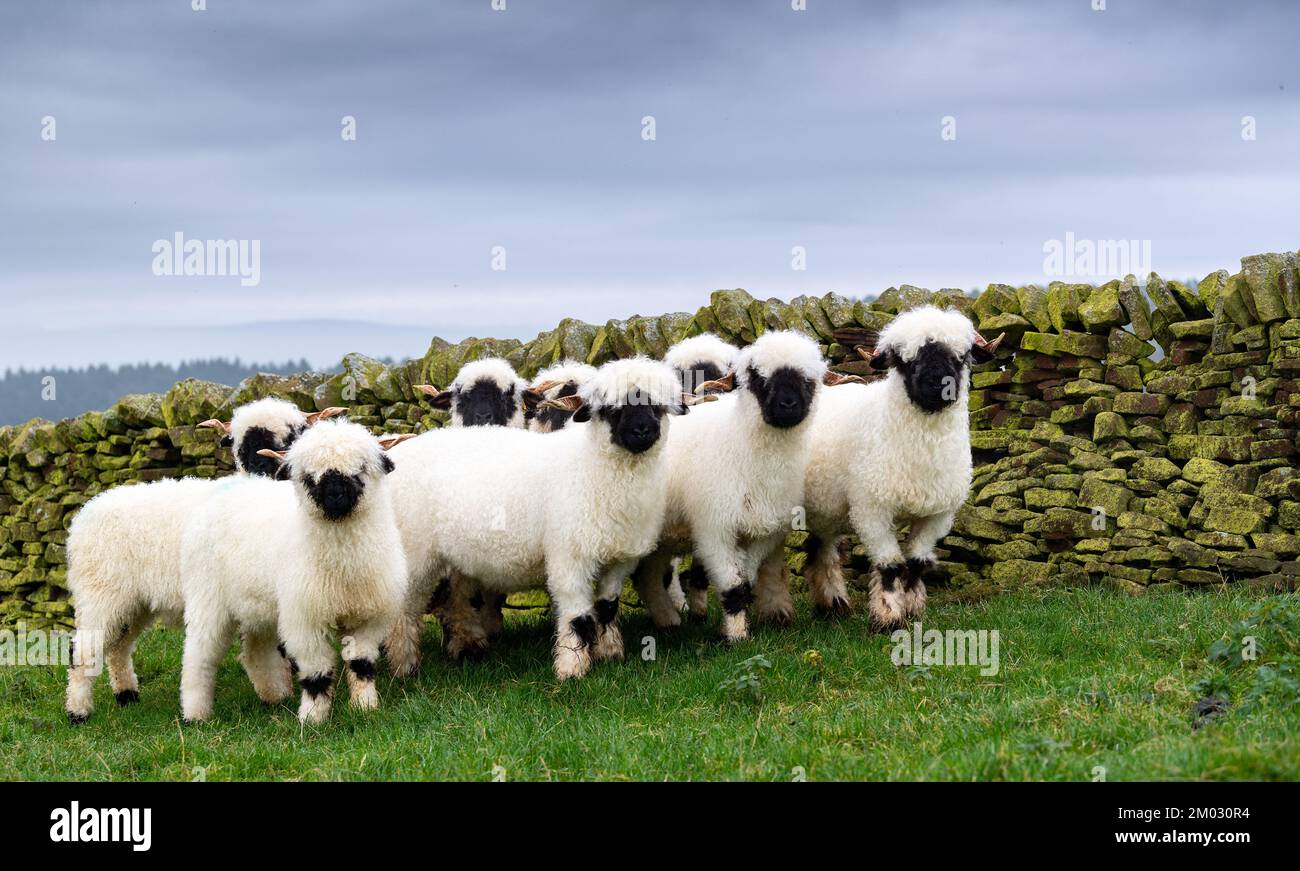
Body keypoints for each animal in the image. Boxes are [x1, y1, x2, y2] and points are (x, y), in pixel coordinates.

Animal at [63, 399, 342, 724]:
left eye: (293, 436)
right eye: (240, 446)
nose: (267, 471)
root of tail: (86, 512)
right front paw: (282, 690)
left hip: (134, 601)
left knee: (118, 647)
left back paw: (127, 695)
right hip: (100, 594)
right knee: (83, 650)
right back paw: (78, 711)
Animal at [178, 420, 409, 723]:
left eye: (360, 469)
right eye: (308, 476)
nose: (334, 495)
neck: (345, 565)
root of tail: (223, 488)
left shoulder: (370, 617)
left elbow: (361, 664)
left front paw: (365, 706)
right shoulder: (305, 618)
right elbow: (316, 672)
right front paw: (312, 719)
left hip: (258, 604)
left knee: (255, 650)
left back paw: (273, 695)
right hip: (207, 598)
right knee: (199, 654)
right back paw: (196, 712)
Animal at [382, 357, 690, 681]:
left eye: (658, 406)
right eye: (610, 409)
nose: (642, 431)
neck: (592, 465)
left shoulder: (617, 559)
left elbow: (607, 606)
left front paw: (610, 654)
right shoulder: (569, 556)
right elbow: (577, 615)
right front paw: (572, 668)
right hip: (414, 551)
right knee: (404, 609)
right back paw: (404, 665)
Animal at [632, 330, 827, 641]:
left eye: (808, 380)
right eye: (759, 379)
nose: (787, 405)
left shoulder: (765, 531)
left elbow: (744, 579)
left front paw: (733, 626)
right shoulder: (715, 528)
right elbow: (733, 585)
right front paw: (736, 638)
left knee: (648, 576)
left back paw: (667, 621)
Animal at [752, 305, 1002, 631]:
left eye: (961, 356)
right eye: (903, 360)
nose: (938, 384)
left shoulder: (938, 514)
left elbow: (916, 563)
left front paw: (913, 610)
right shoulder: (872, 510)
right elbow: (890, 566)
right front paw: (888, 618)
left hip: (827, 506)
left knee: (821, 552)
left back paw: (833, 606)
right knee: (771, 561)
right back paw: (778, 614)